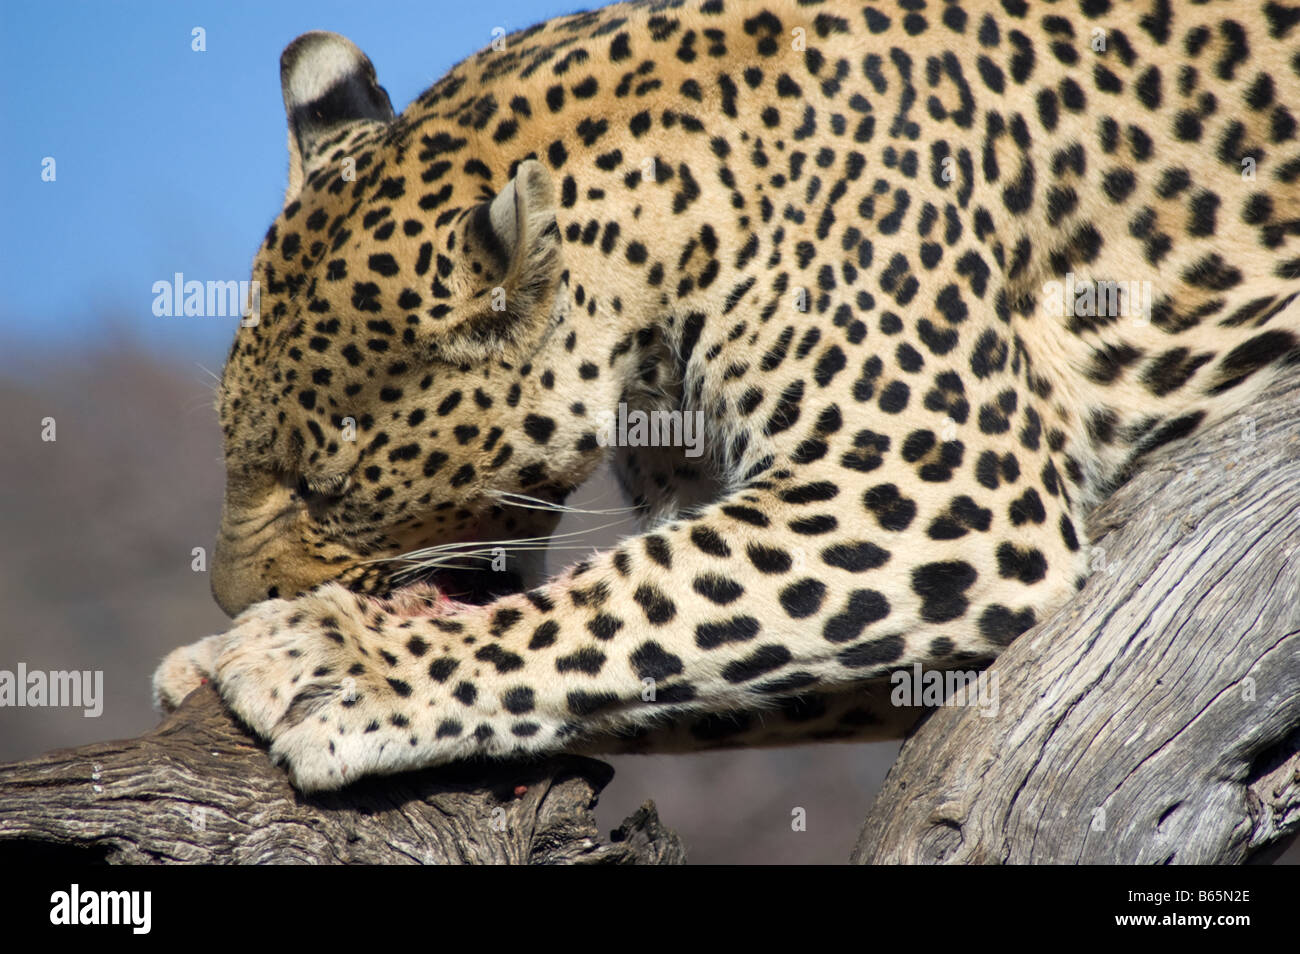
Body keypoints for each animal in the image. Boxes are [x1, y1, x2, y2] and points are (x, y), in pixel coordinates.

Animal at [154, 0, 1300, 793]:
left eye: (323, 488)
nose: (232, 599)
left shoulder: (938, 495)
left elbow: (624, 599)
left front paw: (323, 658)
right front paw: (213, 659)